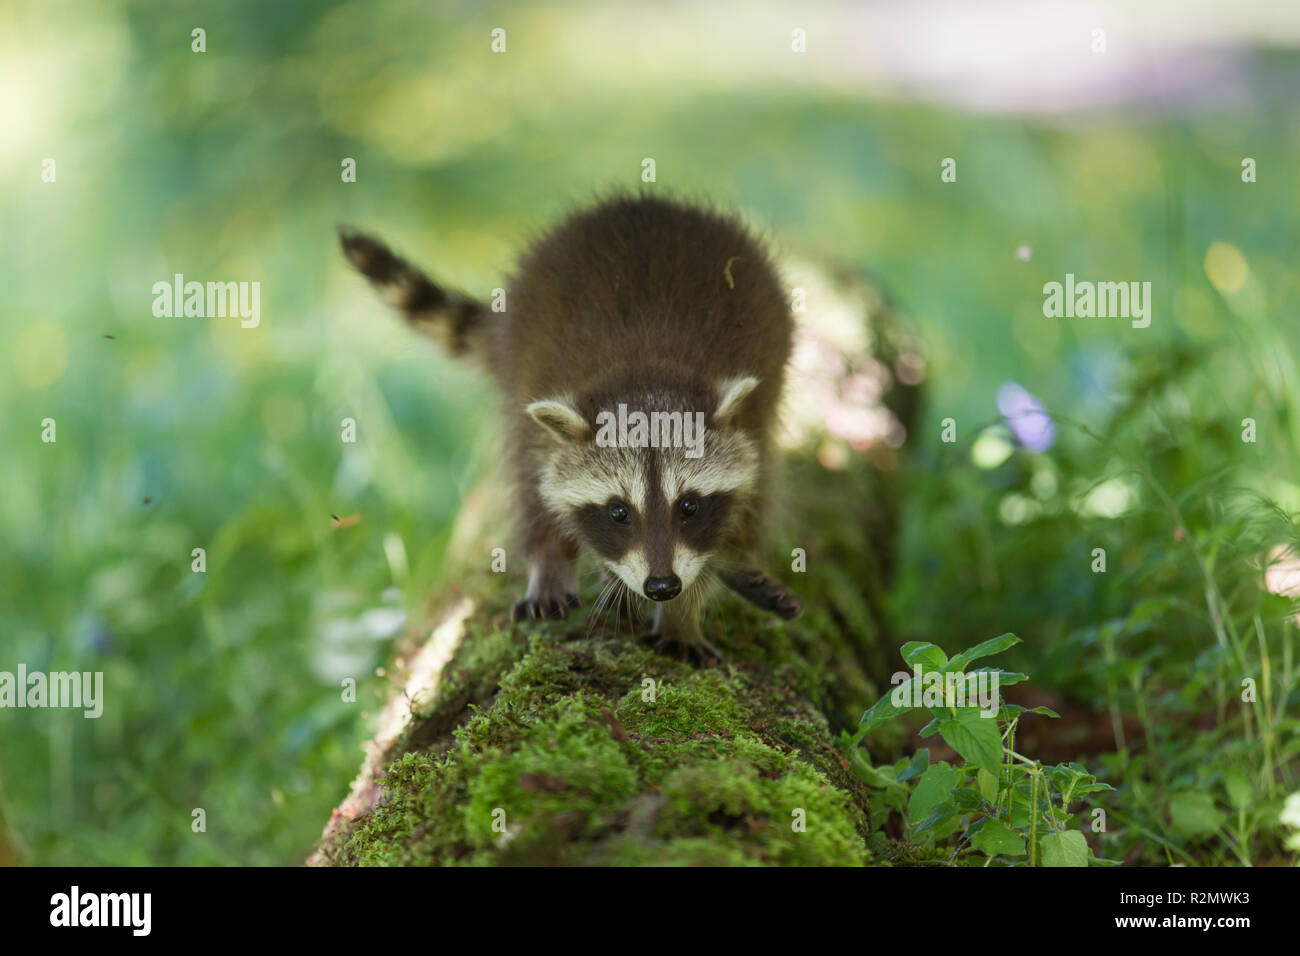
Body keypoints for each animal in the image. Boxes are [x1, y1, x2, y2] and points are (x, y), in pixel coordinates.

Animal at [340, 194, 801, 660]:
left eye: (689, 506)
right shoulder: (536, 415)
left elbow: (737, 520)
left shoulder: (754, 419)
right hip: (517, 358)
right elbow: (535, 497)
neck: (647, 375)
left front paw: (683, 612)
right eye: (618, 512)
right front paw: (553, 561)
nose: (661, 586)